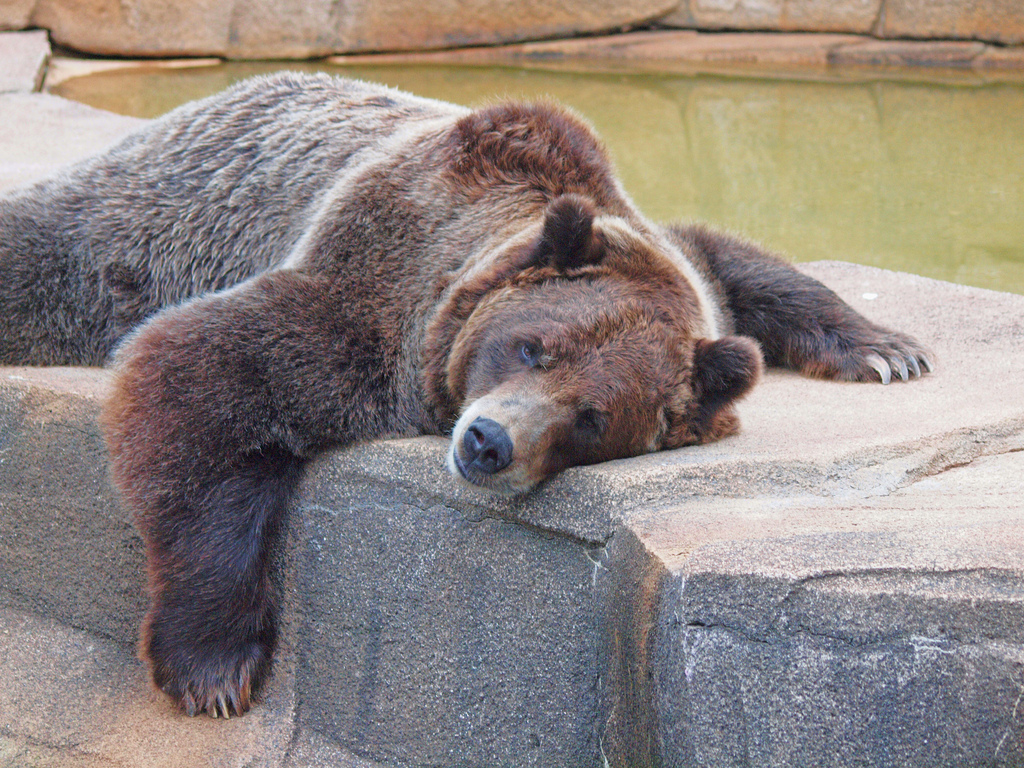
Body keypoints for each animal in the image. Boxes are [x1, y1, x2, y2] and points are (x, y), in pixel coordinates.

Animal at [0, 72, 932, 718]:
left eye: (594, 416)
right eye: (532, 346)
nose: (489, 442)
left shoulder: (671, 268)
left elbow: (739, 263)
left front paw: (887, 349)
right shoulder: (375, 298)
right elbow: (201, 374)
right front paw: (214, 666)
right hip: (138, 226)